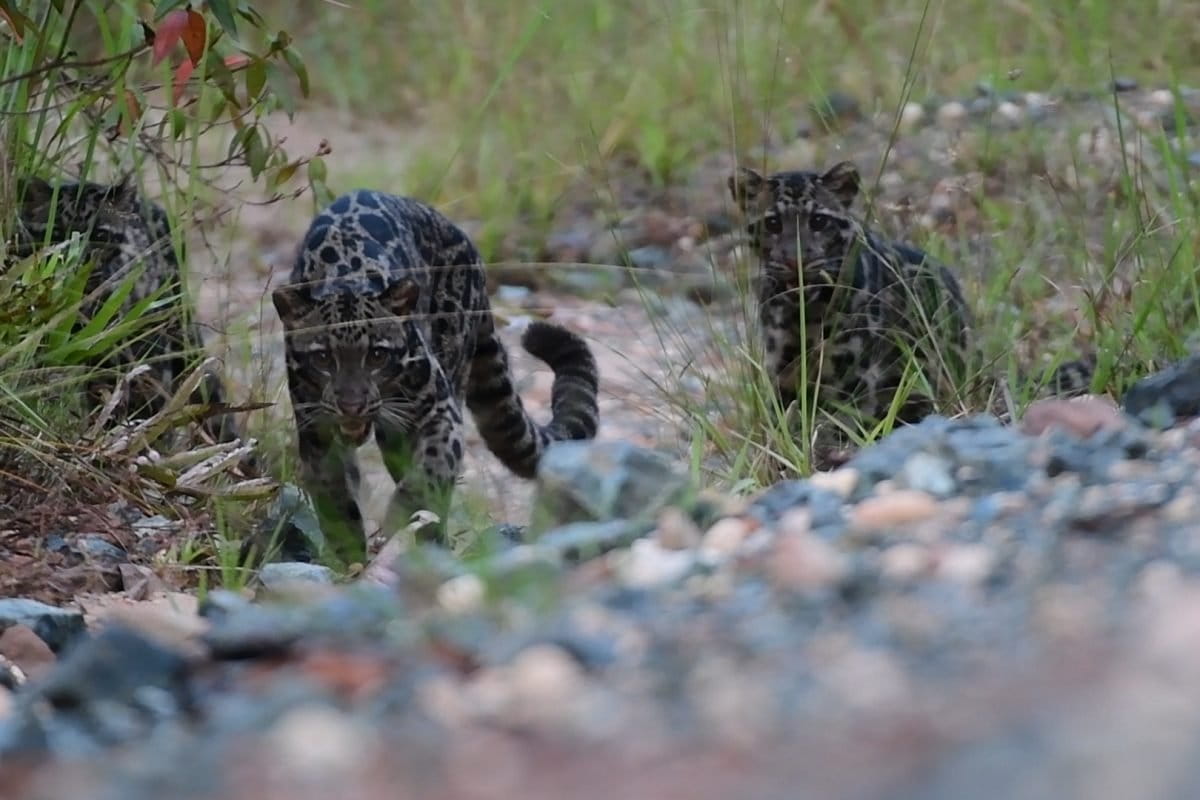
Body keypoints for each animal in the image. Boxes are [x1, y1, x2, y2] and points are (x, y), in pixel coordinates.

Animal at [270, 189, 601, 563]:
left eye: (378, 355)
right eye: (322, 358)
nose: (351, 405)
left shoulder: (438, 410)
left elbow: (431, 468)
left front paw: (401, 515)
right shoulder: (318, 434)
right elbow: (335, 501)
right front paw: (350, 559)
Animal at [728, 160, 1095, 435]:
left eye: (818, 221)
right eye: (772, 223)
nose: (795, 259)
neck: (802, 306)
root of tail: (977, 370)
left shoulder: (857, 373)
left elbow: (846, 420)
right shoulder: (783, 367)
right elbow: (785, 421)